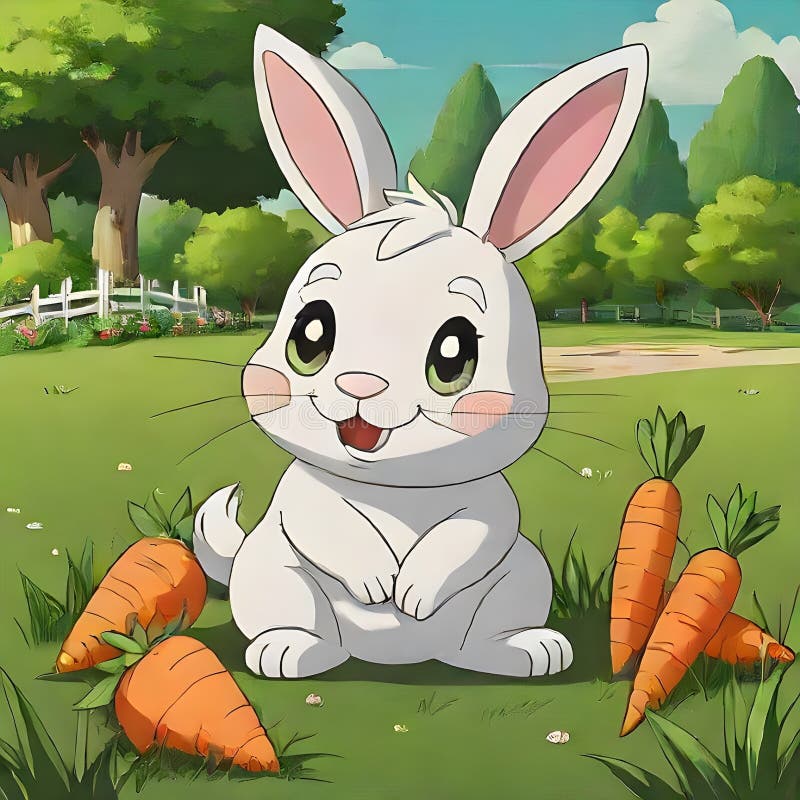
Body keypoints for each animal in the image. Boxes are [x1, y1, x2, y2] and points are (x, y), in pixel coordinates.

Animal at [193, 25, 648, 679]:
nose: (360, 386)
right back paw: (290, 651)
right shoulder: (302, 497)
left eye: (452, 355)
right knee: (301, 624)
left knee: (484, 636)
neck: (397, 491)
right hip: (274, 573)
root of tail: (397, 657)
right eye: (310, 334)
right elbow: (323, 524)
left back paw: (527, 651)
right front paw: (377, 581)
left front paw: (410, 591)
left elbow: (474, 535)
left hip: (521, 577)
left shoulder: (491, 507)